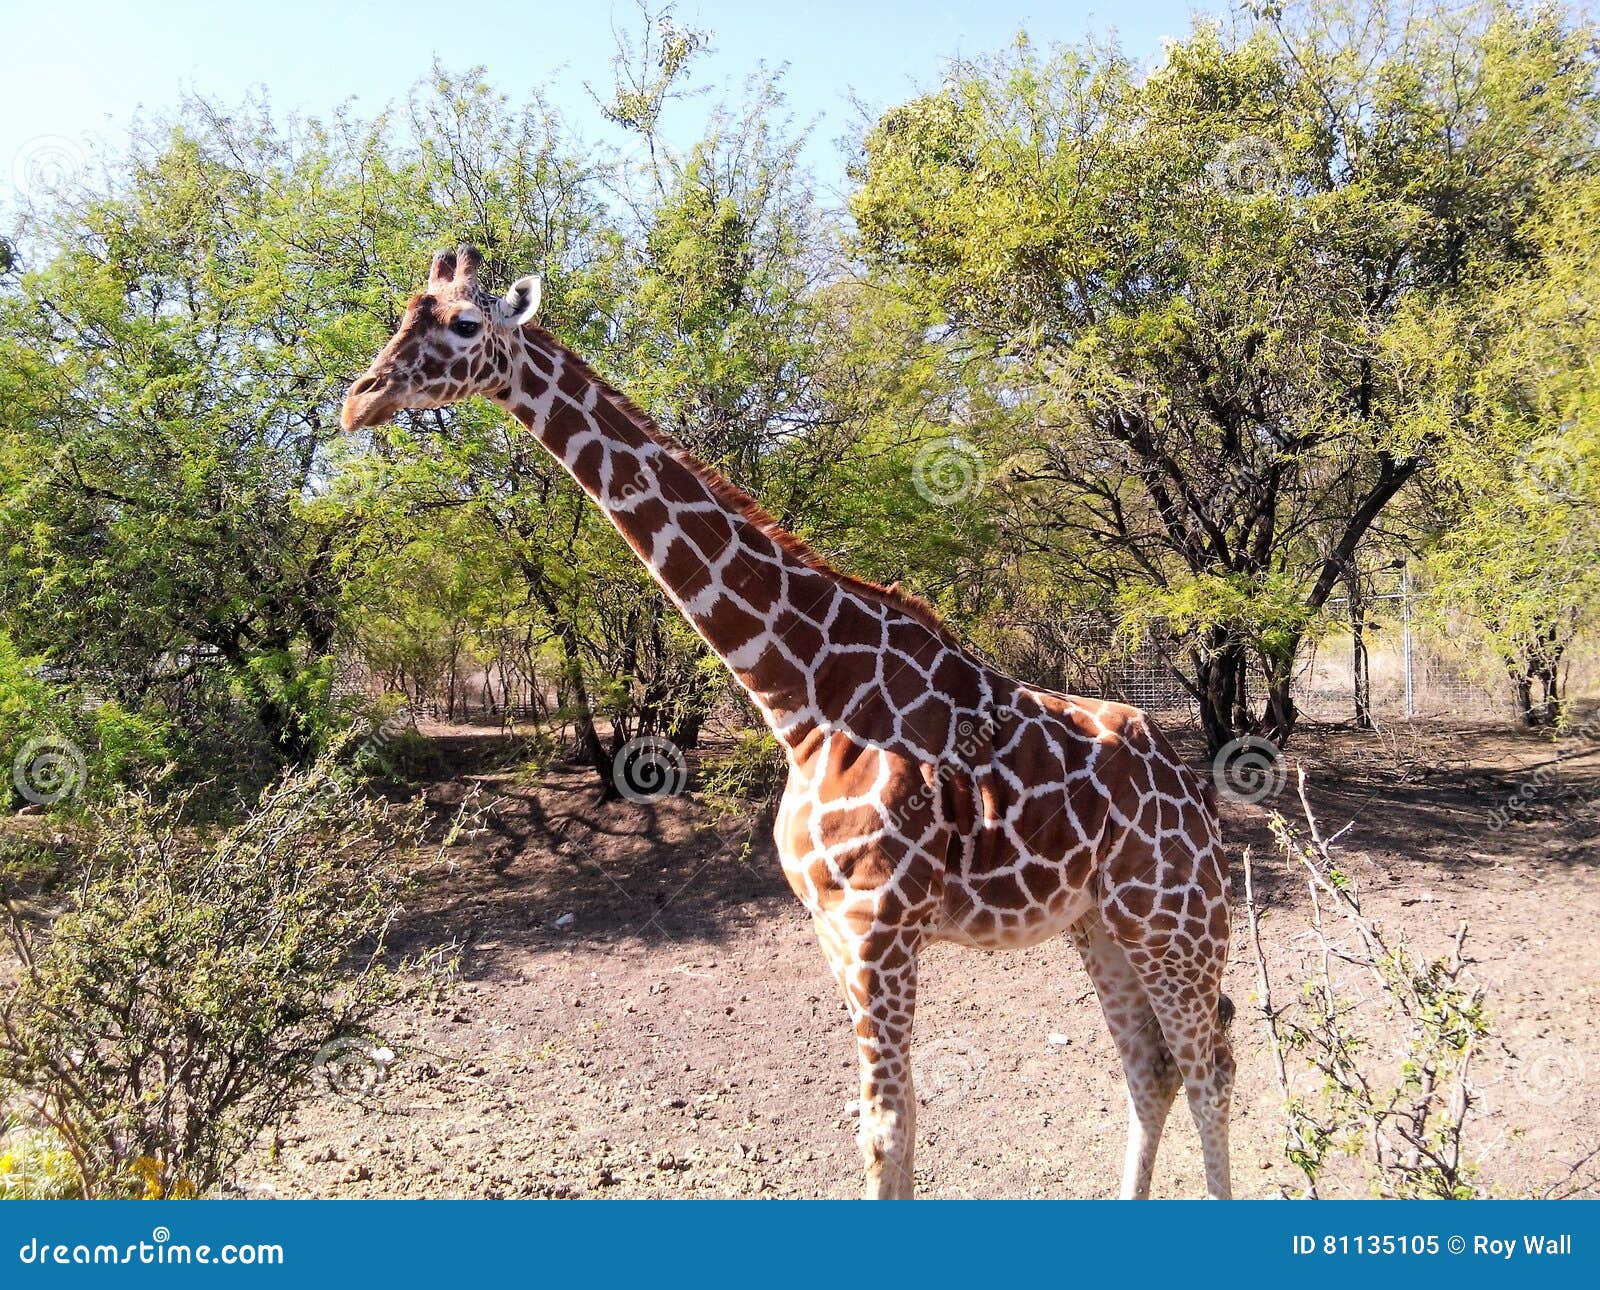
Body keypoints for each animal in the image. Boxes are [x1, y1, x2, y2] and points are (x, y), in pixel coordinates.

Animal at [342, 246, 1234, 1200]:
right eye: (402, 314)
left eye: (464, 323)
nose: (361, 397)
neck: (801, 697)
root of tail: (1198, 794)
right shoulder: (832, 928)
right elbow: (891, 1130)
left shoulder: (877, 924)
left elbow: (887, 1130)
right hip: (1101, 923)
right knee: (1151, 1067)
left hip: (1174, 917)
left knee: (1207, 1064)